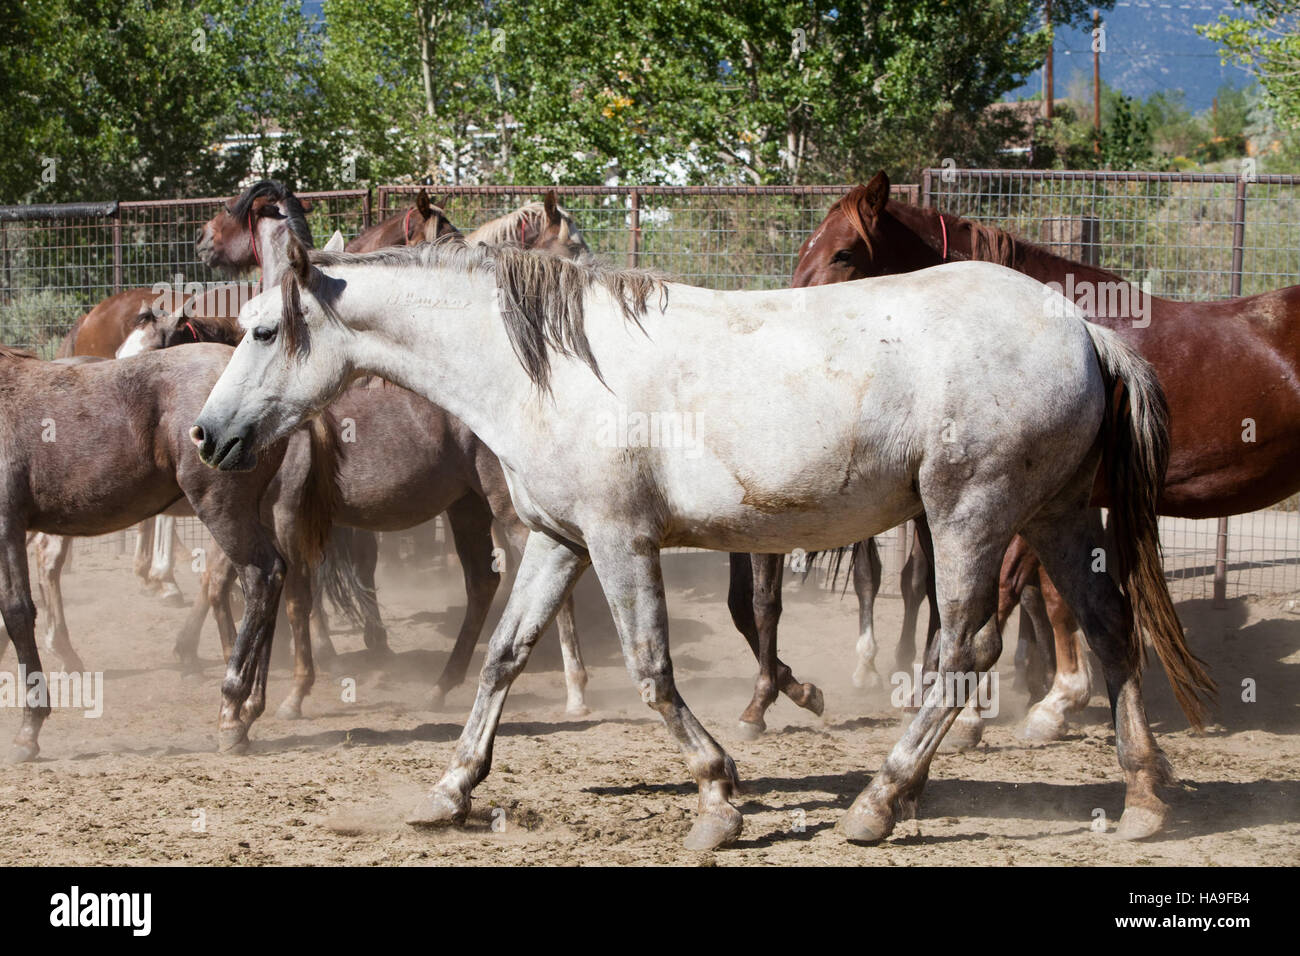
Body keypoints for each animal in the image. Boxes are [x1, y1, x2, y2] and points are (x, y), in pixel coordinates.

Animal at [0, 343, 339, 760]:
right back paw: (249, 708)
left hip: (224, 509)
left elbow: (16, 612)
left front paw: (28, 730)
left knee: (262, 577)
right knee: (268, 584)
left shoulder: (7, 524)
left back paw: (232, 712)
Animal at [189, 235, 1212, 849]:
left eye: (263, 329)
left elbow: (651, 671)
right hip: (1058, 514)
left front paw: (720, 799)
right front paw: (449, 791)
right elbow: (503, 657)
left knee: (965, 648)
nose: (206, 434)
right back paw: (1144, 799)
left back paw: (880, 803)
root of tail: (1082, 329)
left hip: (972, 510)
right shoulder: (558, 540)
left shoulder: (619, 541)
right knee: (1111, 629)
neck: (549, 369)